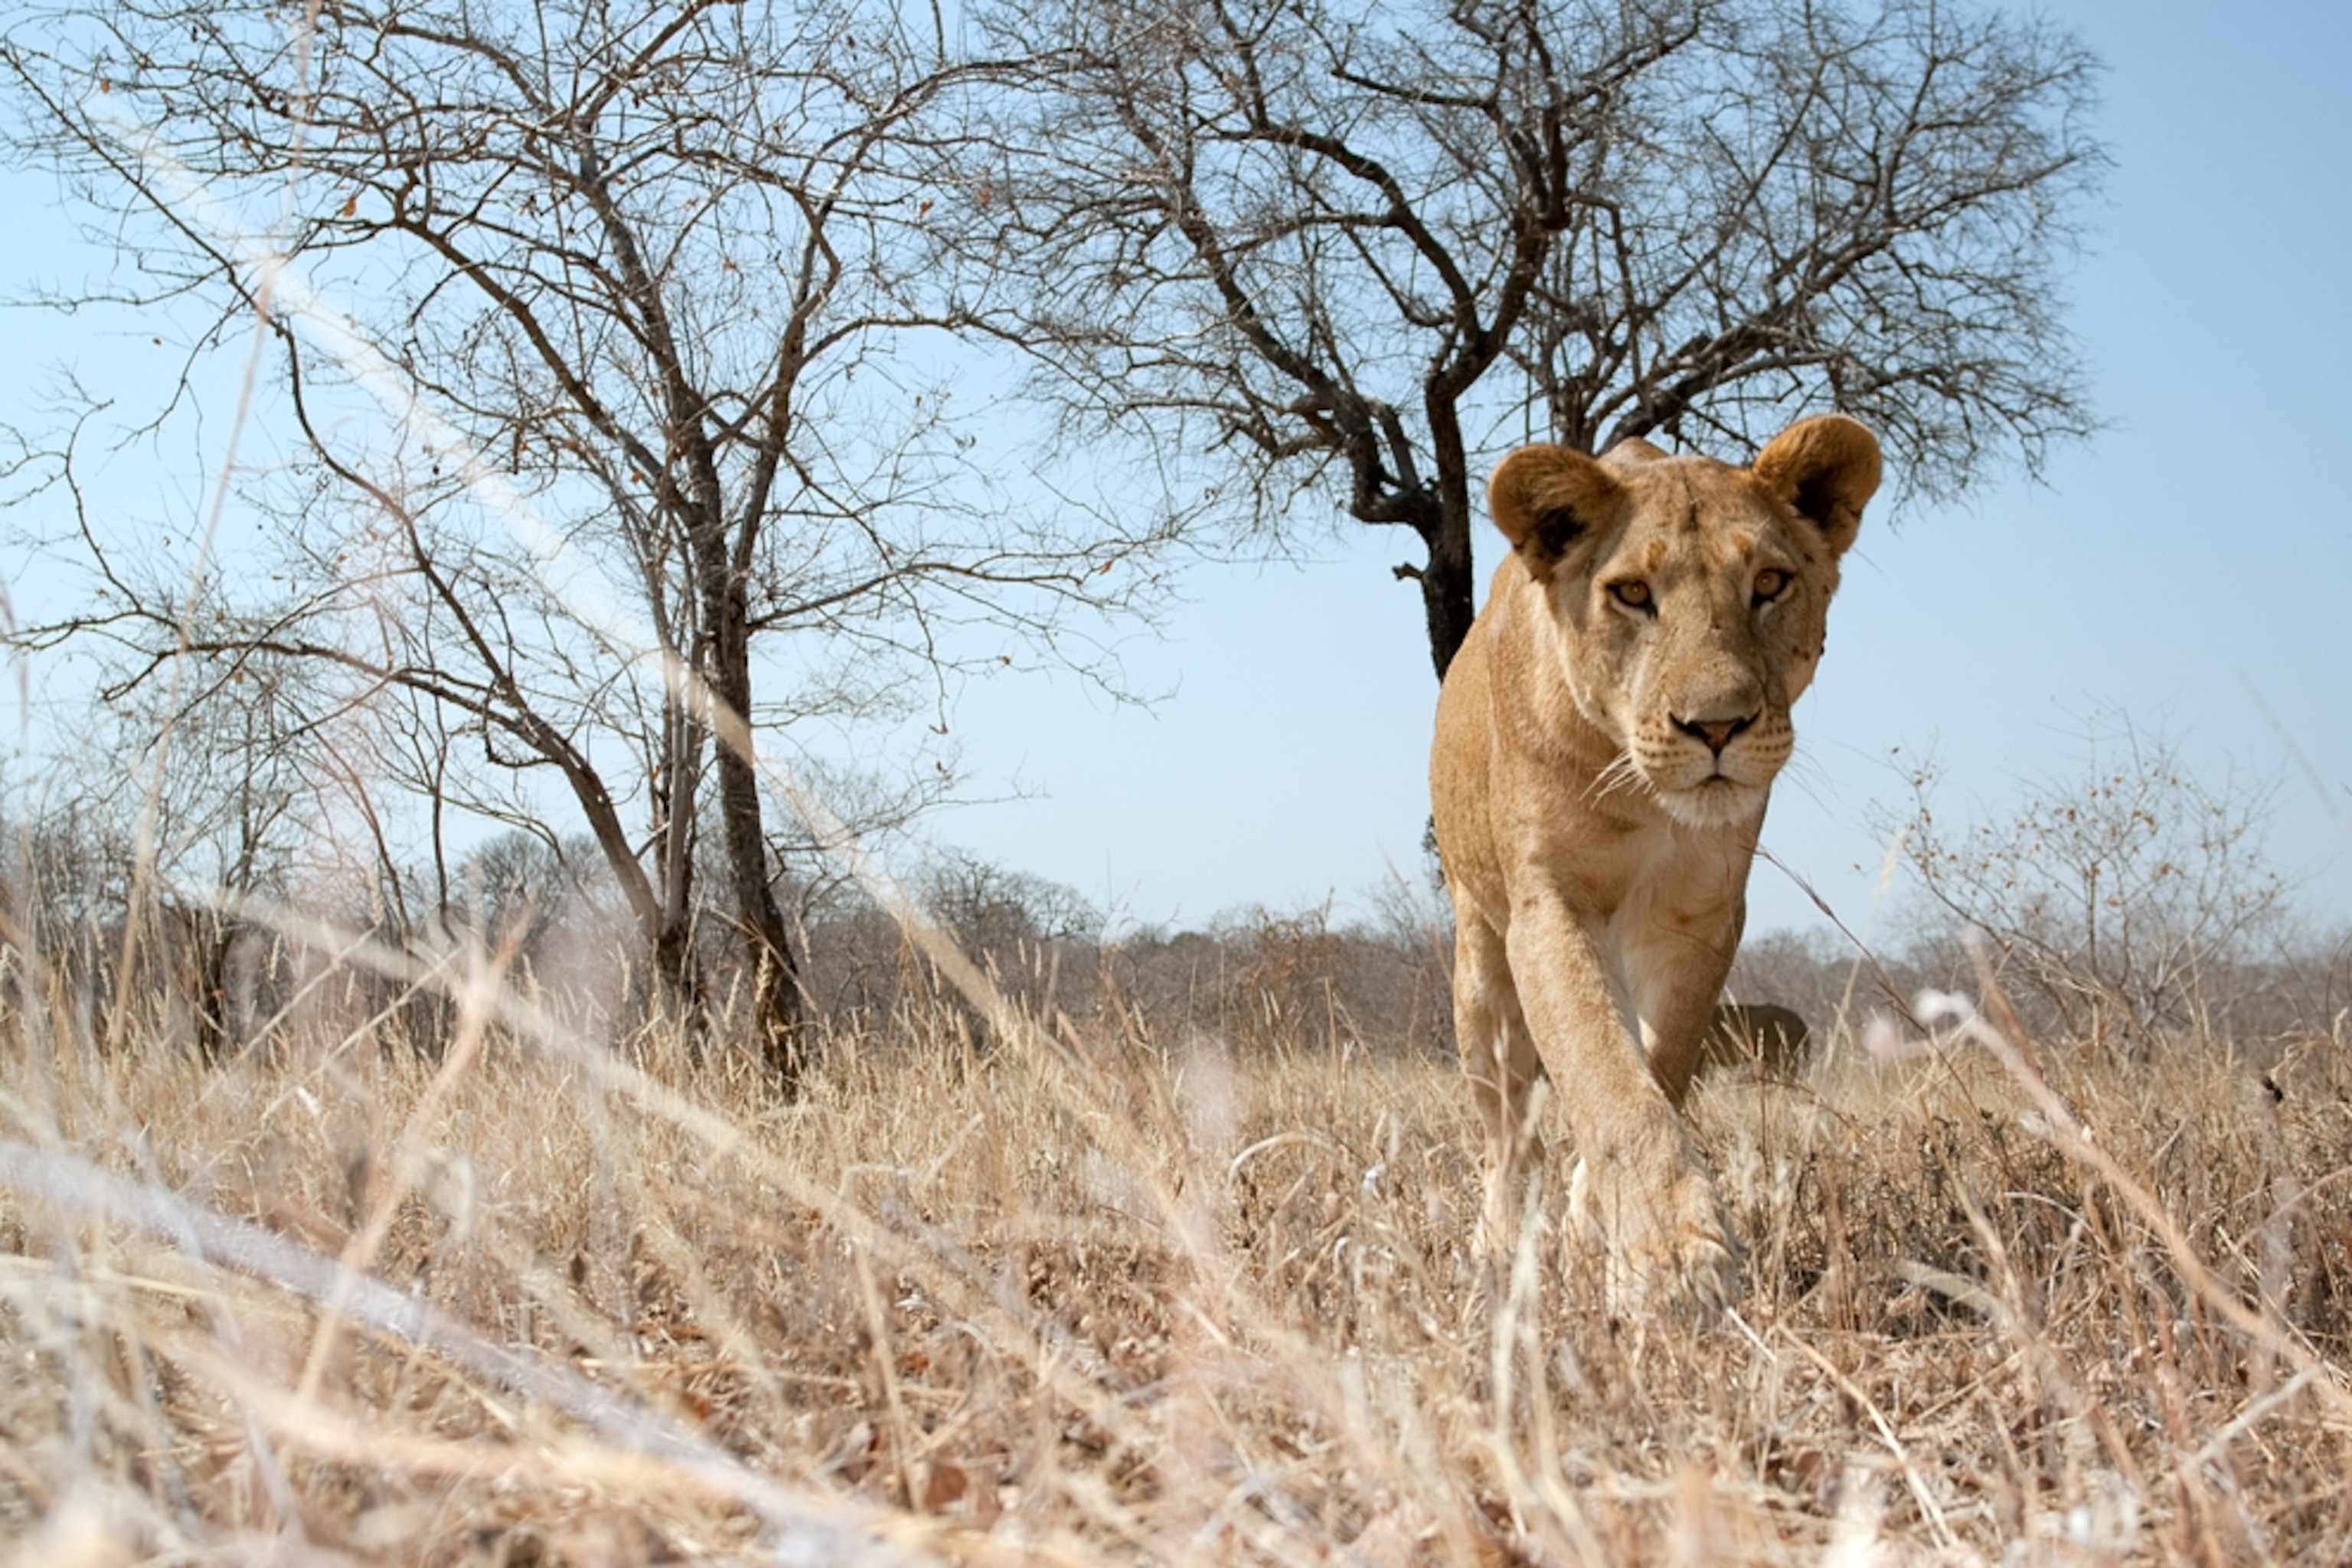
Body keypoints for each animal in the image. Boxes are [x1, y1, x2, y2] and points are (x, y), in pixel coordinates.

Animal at [1429, 415, 1879, 1312]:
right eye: (1633, 593)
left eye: (1770, 582)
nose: (1718, 726)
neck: (1644, 792)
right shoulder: (1550, 906)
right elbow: (1603, 1070)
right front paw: (1675, 1256)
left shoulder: (1700, 915)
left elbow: (1657, 1068)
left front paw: (1601, 1234)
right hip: (1480, 959)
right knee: (1507, 1131)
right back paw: (1498, 1250)